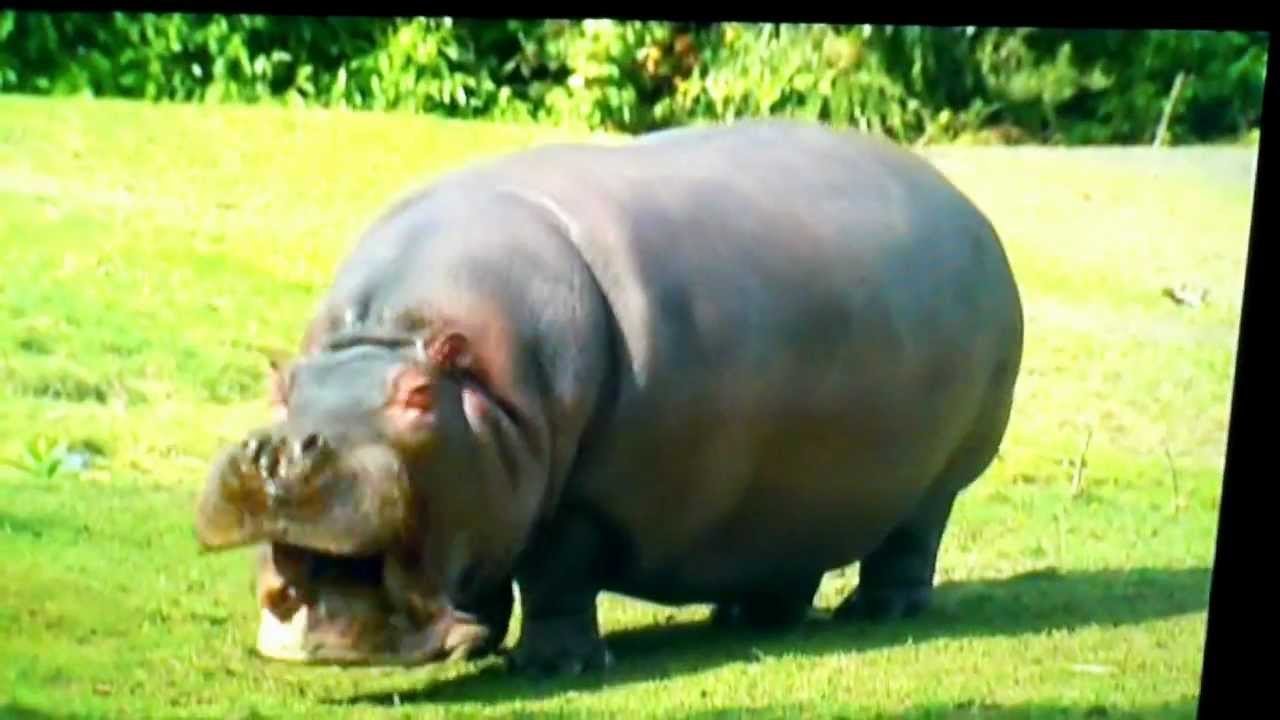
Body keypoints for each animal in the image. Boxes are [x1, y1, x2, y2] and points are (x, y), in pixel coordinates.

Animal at [194, 119, 1024, 676]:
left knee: (911, 540)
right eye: (283, 388)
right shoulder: (493, 488)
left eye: (420, 397)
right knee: (790, 555)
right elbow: (488, 571)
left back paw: (878, 610)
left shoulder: (582, 501)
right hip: (792, 491)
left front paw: (552, 665)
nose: (274, 455)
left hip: (945, 475)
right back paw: (744, 618)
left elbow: (556, 574)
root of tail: (966, 207)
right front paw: (480, 647)